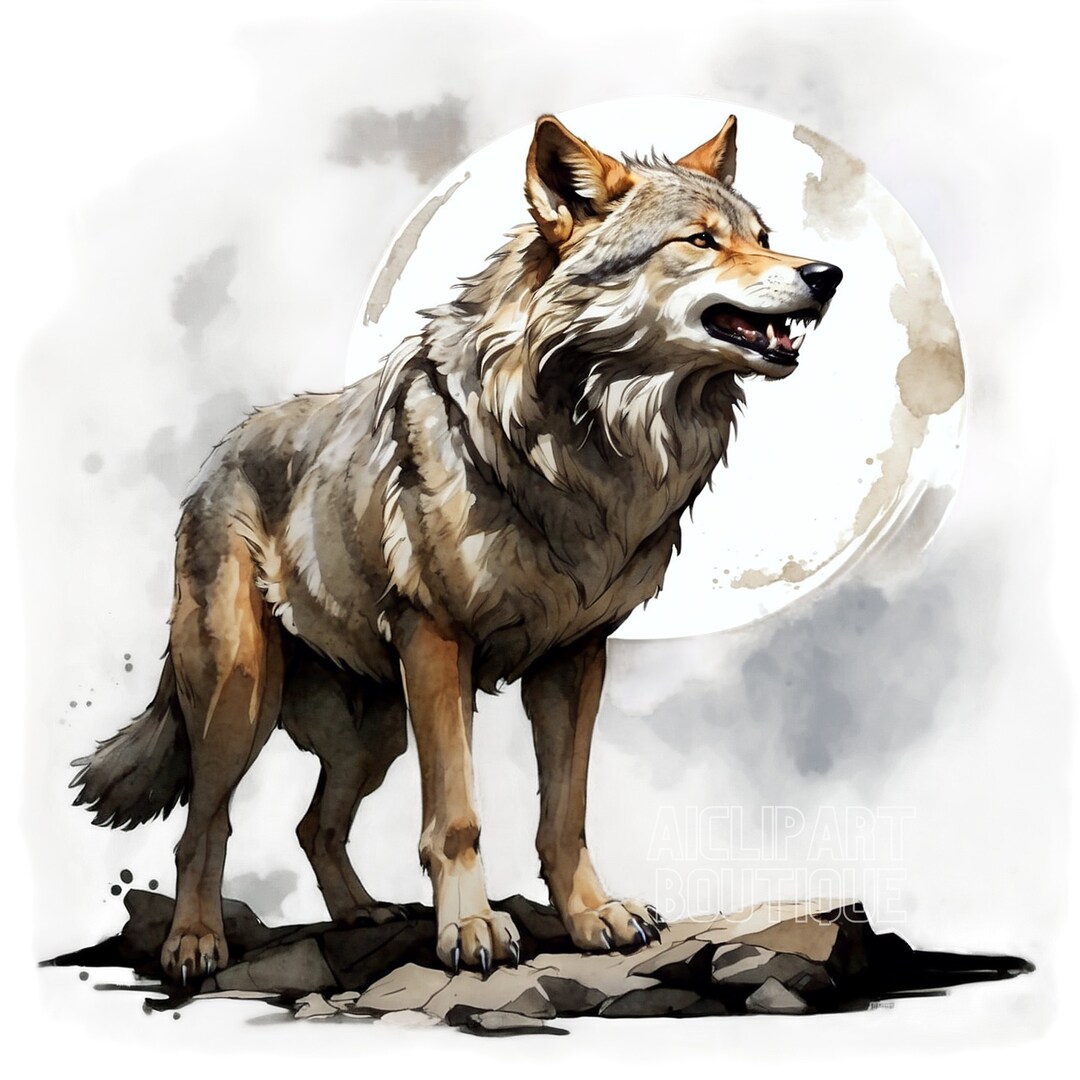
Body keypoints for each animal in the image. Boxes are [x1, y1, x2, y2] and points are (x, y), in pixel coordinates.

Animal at [71, 114, 841, 982]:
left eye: (762, 237)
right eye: (701, 241)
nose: (827, 274)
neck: (586, 443)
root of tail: (215, 460)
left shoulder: (574, 657)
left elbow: (565, 812)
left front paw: (592, 917)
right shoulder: (439, 641)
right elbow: (458, 817)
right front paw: (471, 930)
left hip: (373, 736)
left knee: (313, 825)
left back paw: (363, 913)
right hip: (240, 699)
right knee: (204, 827)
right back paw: (196, 943)